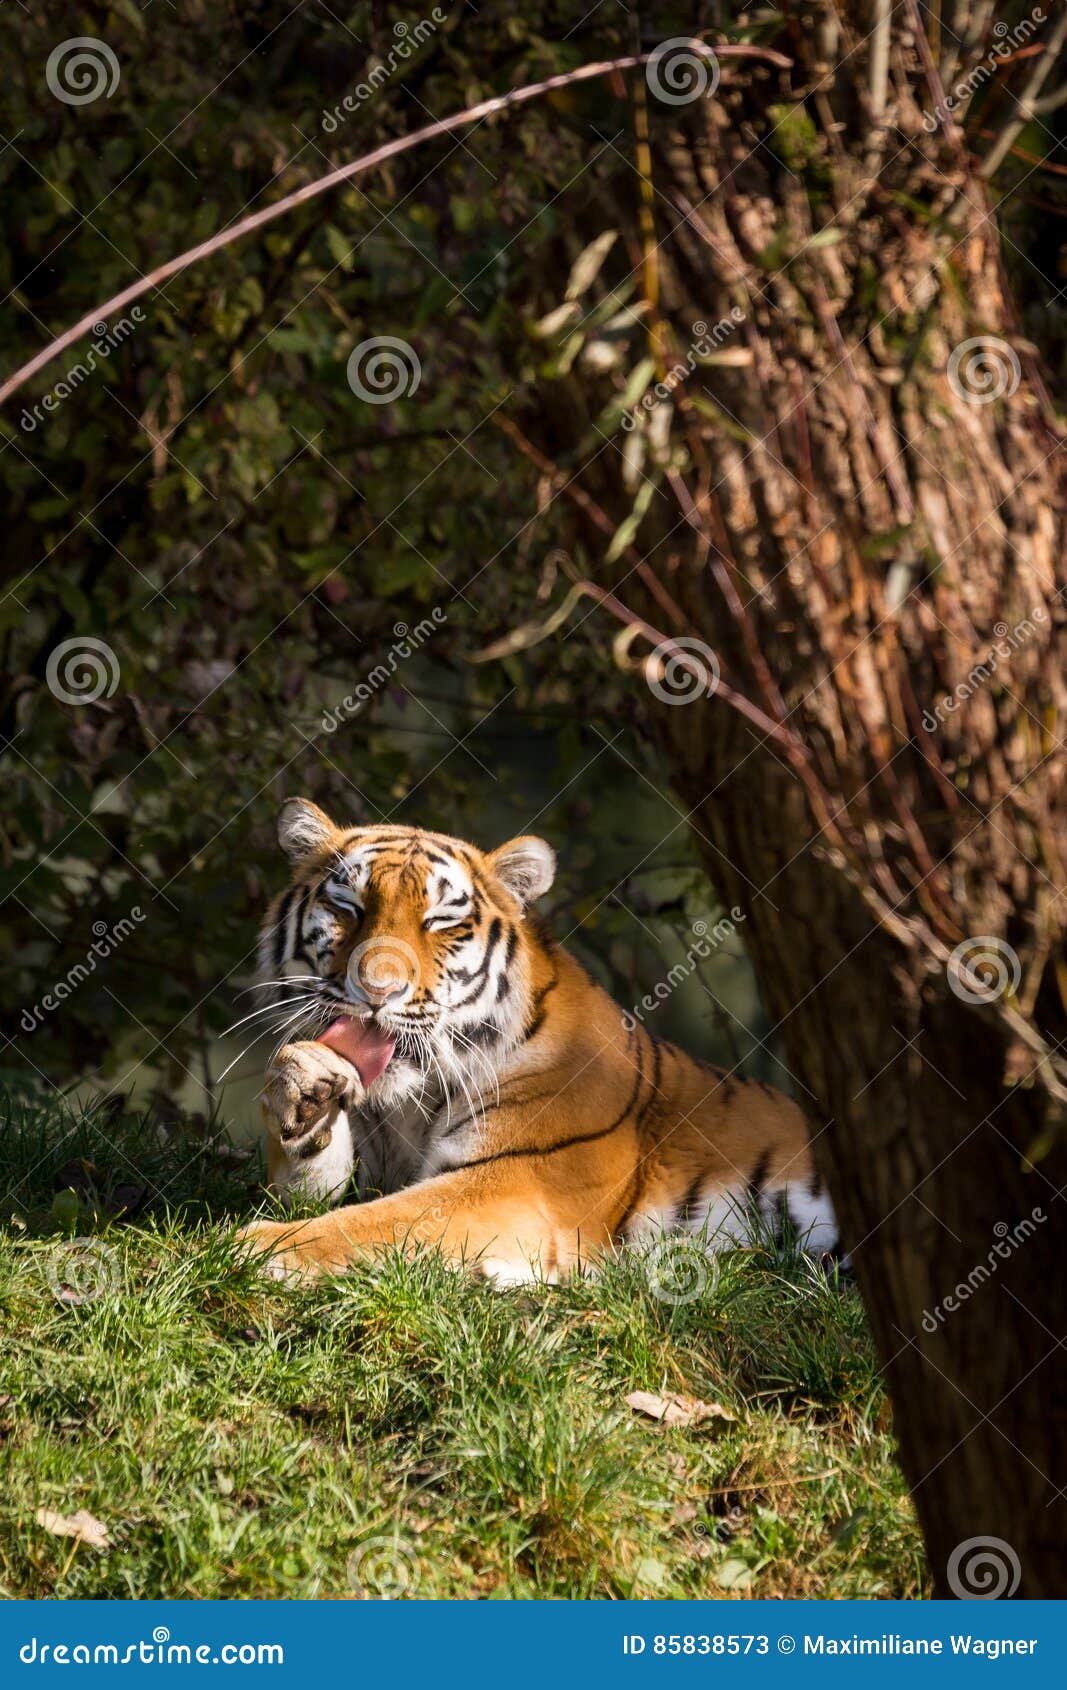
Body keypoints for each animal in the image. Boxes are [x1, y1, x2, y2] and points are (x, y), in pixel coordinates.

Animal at [237, 799, 839, 1283]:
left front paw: (252, 1248)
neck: (410, 1101)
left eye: (440, 921)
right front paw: (303, 1084)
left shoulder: (515, 1181)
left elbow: (366, 1224)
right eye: (348, 907)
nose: (377, 989)